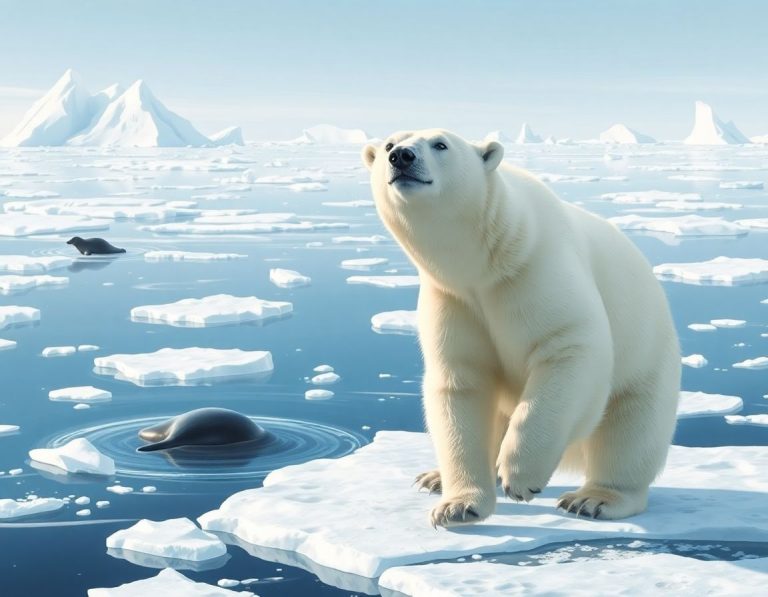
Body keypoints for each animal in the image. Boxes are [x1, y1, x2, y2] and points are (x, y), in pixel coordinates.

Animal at [362, 129, 680, 528]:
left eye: (440, 144)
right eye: (389, 145)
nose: (402, 157)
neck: (484, 263)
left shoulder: (535, 268)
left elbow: (568, 346)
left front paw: (520, 477)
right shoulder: (453, 298)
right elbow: (461, 386)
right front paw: (458, 506)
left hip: (646, 358)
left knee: (631, 430)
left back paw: (594, 499)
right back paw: (433, 478)